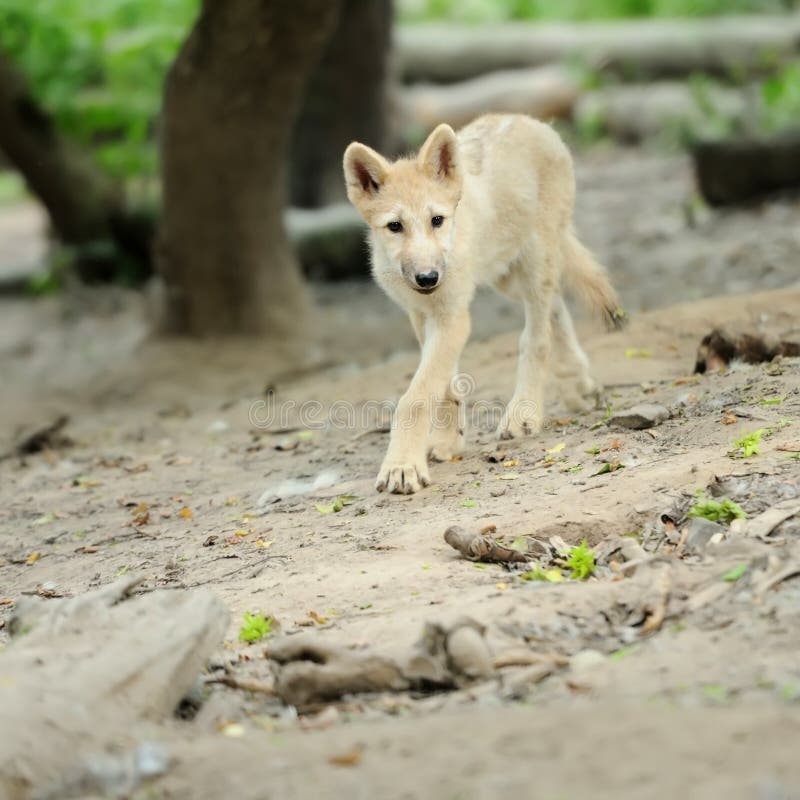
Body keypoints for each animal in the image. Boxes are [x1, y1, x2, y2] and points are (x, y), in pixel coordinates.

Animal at [343, 113, 624, 494]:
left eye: (437, 220)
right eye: (395, 226)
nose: (428, 278)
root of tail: (532, 121)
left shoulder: (453, 317)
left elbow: (415, 397)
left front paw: (402, 467)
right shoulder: (423, 315)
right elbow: (445, 386)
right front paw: (447, 441)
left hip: (534, 263)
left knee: (537, 337)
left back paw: (524, 413)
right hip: (508, 277)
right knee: (556, 307)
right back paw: (578, 380)